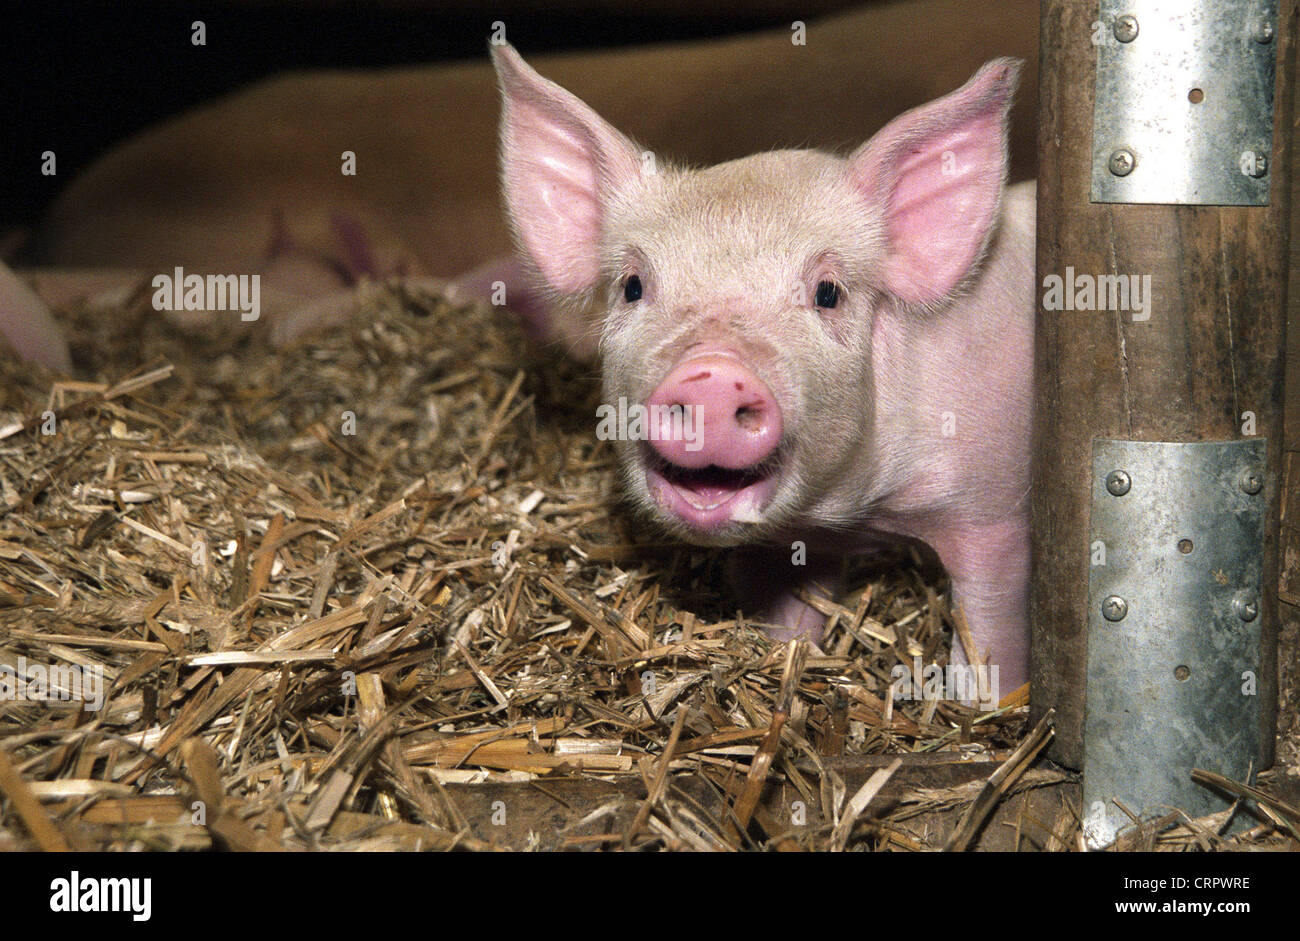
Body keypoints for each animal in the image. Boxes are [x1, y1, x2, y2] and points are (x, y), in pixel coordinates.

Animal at [493, 45, 1034, 692]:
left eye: (828, 293)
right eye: (632, 286)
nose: (709, 374)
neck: (853, 514)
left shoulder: (994, 511)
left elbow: (988, 628)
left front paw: (985, 702)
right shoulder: (787, 546)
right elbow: (786, 618)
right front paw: (783, 657)